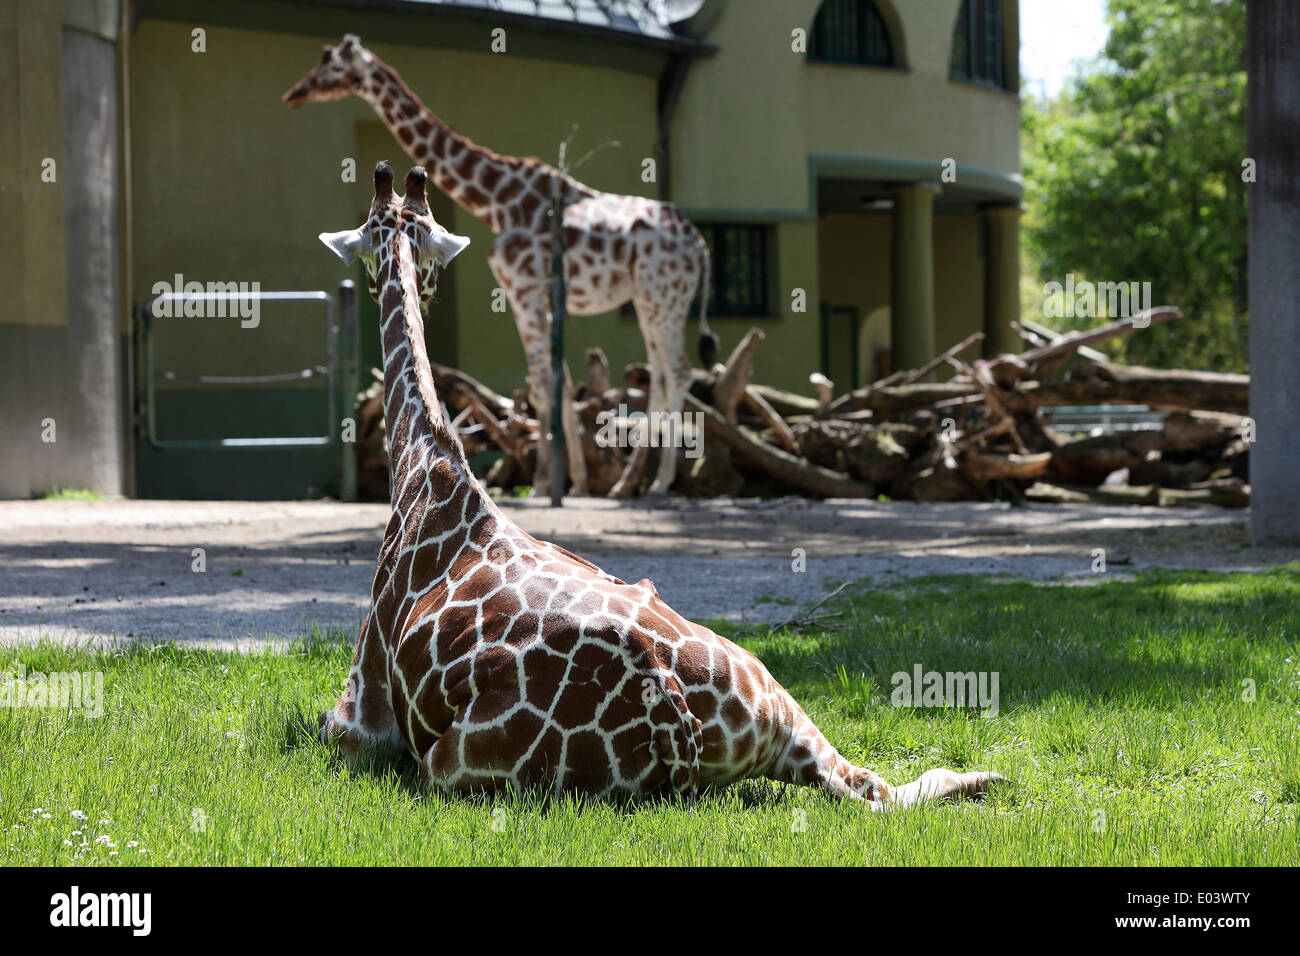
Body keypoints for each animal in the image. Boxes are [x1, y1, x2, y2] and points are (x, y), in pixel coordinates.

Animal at [285, 34, 719, 498]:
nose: (295, 93)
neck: (495, 199)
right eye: (321, 62)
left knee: (678, 371)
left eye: (334, 68)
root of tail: (700, 245)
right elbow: (559, 384)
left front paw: (547, 483)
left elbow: (544, 386)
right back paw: (625, 484)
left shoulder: (523, 289)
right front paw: (574, 483)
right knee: (659, 376)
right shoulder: (535, 296)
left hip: (664, 297)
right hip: (647, 300)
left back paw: (658, 484)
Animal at [314, 161, 1005, 808]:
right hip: (781, 709)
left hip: (447, 769)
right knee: (876, 788)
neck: (423, 464)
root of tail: (672, 713)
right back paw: (986, 778)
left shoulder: (361, 717)